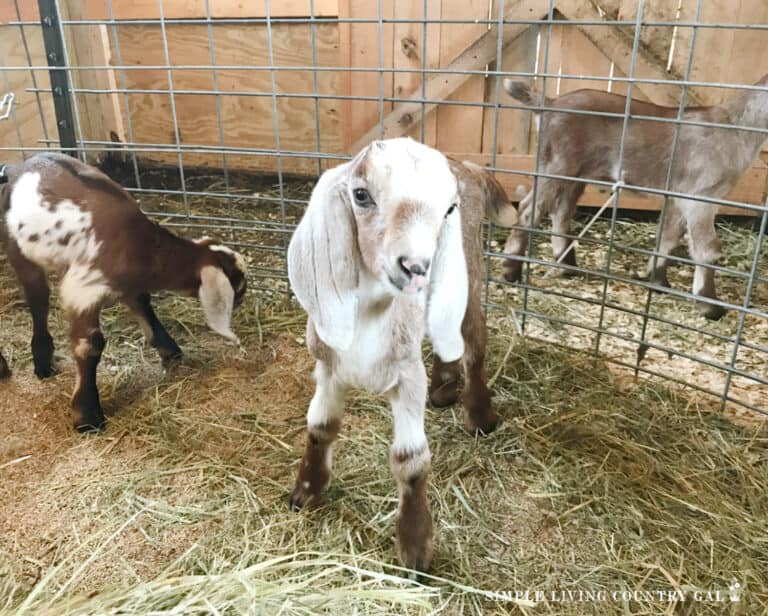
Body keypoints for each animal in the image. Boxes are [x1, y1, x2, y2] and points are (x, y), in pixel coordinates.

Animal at [0, 153, 247, 432]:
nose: (244, 296)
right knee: (38, 298)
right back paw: (37, 361)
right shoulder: (82, 290)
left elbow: (143, 303)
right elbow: (89, 345)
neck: (145, 248)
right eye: (238, 283)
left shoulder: (128, 285)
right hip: (17, 248)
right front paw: (87, 415)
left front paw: (170, 350)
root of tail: (21, 165)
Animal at [286, 137, 518, 573]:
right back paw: (444, 388)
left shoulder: (407, 376)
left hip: (468, 273)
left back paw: (479, 415)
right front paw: (306, 490)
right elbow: (320, 426)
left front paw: (415, 547)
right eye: (360, 194)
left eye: (448, 208)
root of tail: (467, 165)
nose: (415, 266)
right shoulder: (328, 366)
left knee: (473, 342)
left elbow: (410, 459)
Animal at [501, 74, 768, 320]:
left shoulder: (677, 195)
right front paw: (710, 305)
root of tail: (550, 103)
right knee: (530, 209)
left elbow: (668, 236)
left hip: (574, 172)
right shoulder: (700, 197)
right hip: (558, 164)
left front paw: (658, 280)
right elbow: (708, 248)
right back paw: (511, 269)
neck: (736, 128)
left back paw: (567, 265)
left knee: (561, 211)